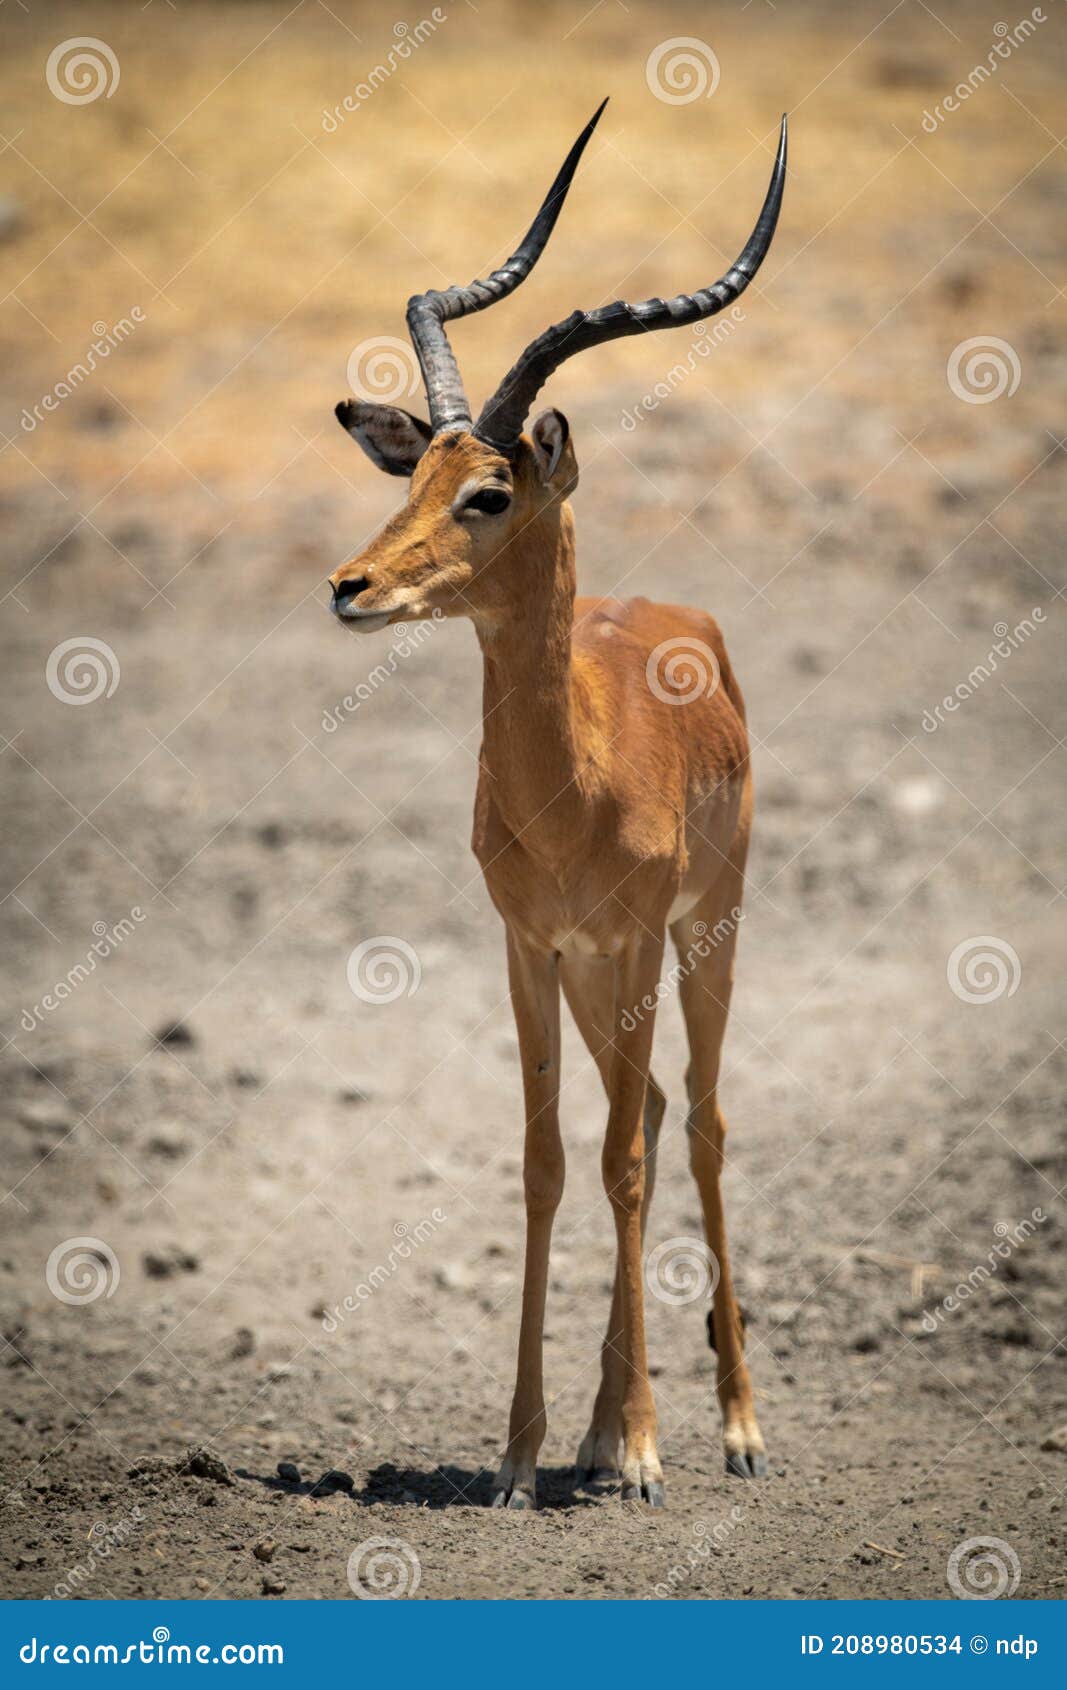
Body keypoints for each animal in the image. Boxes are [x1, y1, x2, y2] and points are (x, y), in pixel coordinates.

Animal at [327, 102, 787, 1509]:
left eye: (488, 493)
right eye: (413, 476)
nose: (350, 585)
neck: (574, 780)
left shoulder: (633, 941)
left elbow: (627, 1164)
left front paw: (642, 1447)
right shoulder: (529, 948)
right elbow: (544, 1166)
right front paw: (524, 1450)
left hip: (704, 937)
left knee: (694, 1125)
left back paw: (733, 1428)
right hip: (596, 977)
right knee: (641, 1118)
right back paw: (594, 1428)